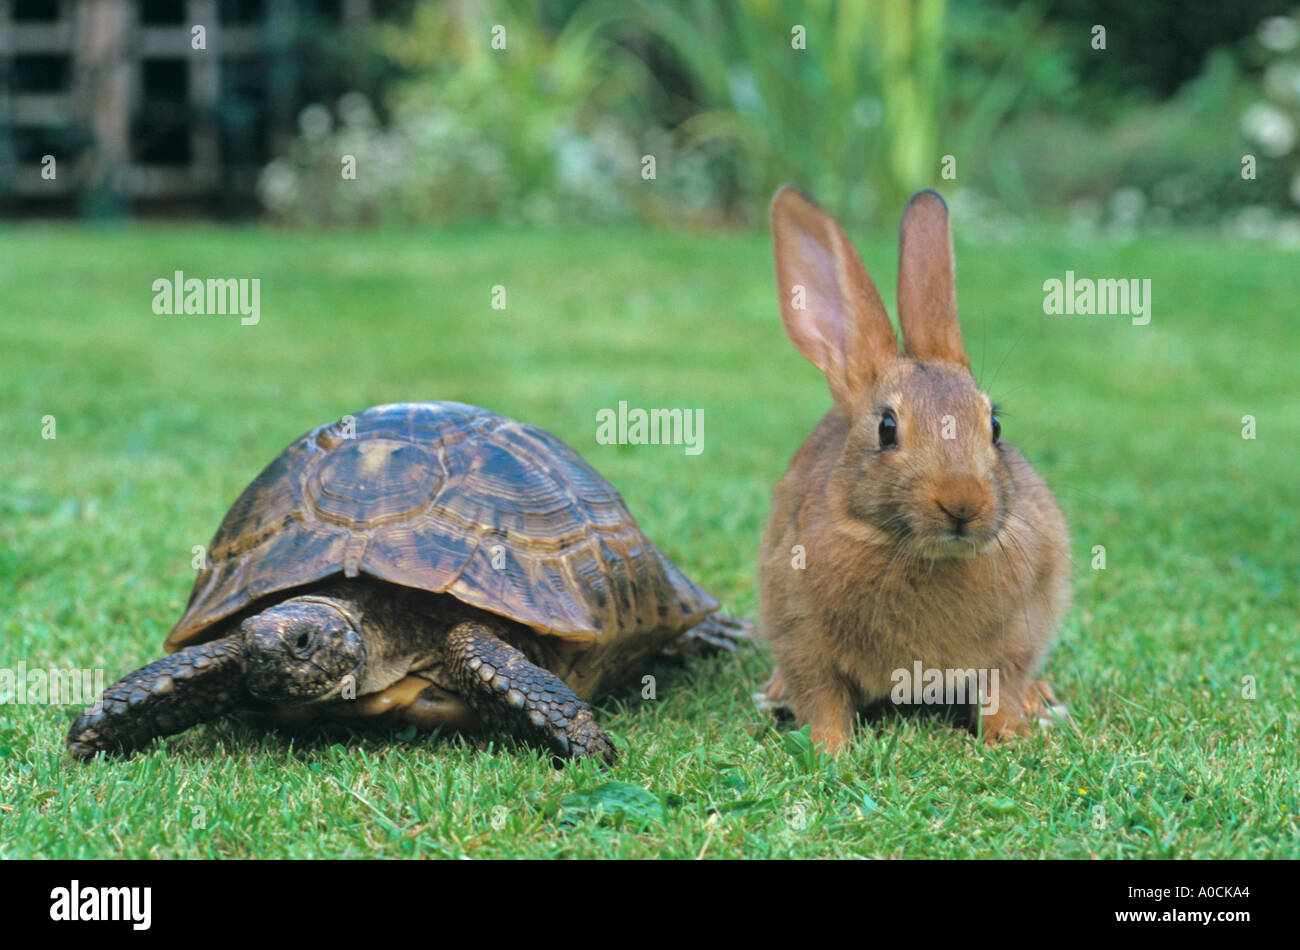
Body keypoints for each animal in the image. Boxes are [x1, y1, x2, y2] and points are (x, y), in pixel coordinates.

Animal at [758, 186, 1071, 753]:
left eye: (994, 425)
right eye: (886, 428)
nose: (963, 502)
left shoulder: (1017, 637)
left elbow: (1000, 689)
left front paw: (1010, 736)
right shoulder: (801, 637)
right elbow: (822, 699)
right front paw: (830, 750)